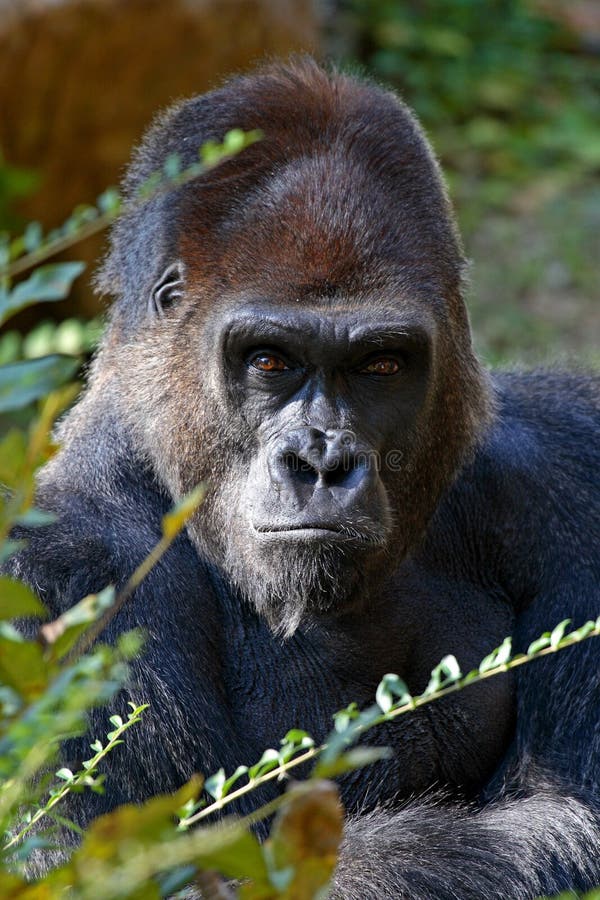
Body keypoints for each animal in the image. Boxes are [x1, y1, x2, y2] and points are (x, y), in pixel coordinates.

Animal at [8, 58, 600, 898]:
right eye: (269, 361)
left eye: (381, 364)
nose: (321, 462)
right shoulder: (61, 570)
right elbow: (148, 870)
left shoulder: (568, 468)